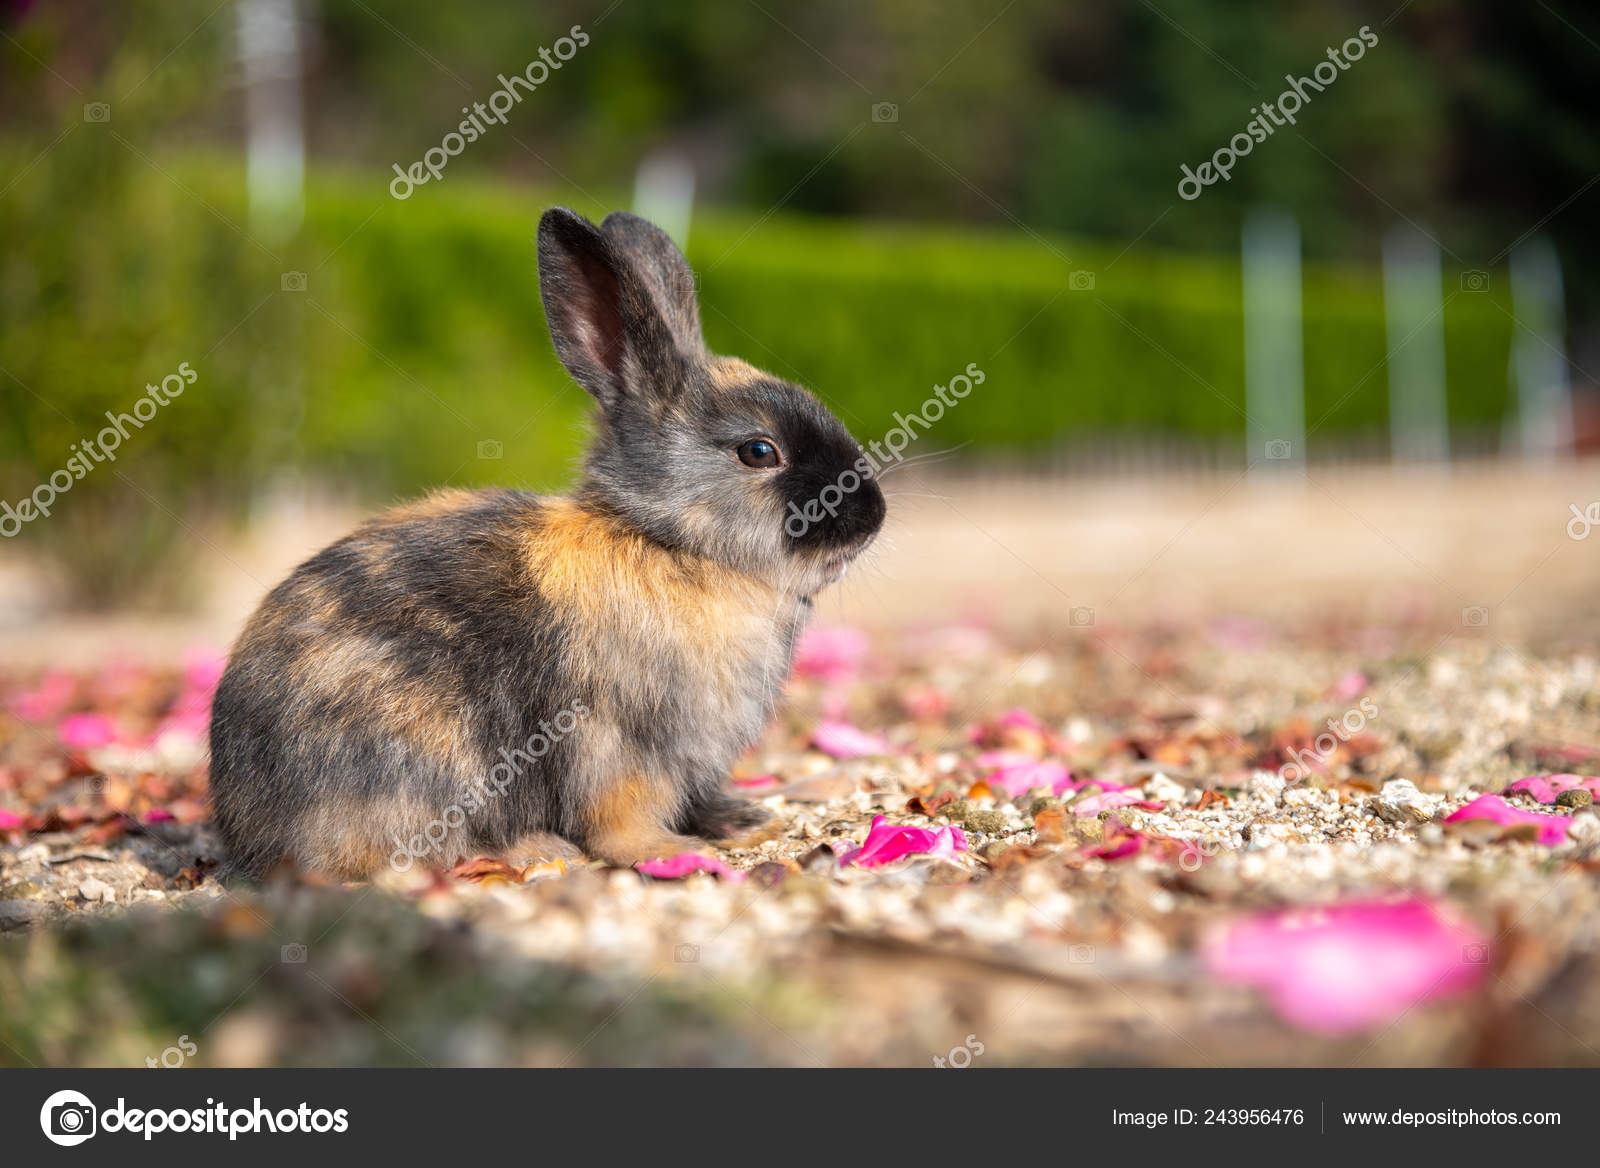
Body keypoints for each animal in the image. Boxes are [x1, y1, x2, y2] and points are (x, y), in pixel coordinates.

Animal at [208, 207, 886, 880]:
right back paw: (535, 849)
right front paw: (669, 851)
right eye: (759, 451)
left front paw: (747, 822)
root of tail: (253, 834)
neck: (669, 543)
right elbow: (619, 820)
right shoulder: (614, 745)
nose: (872, 514)